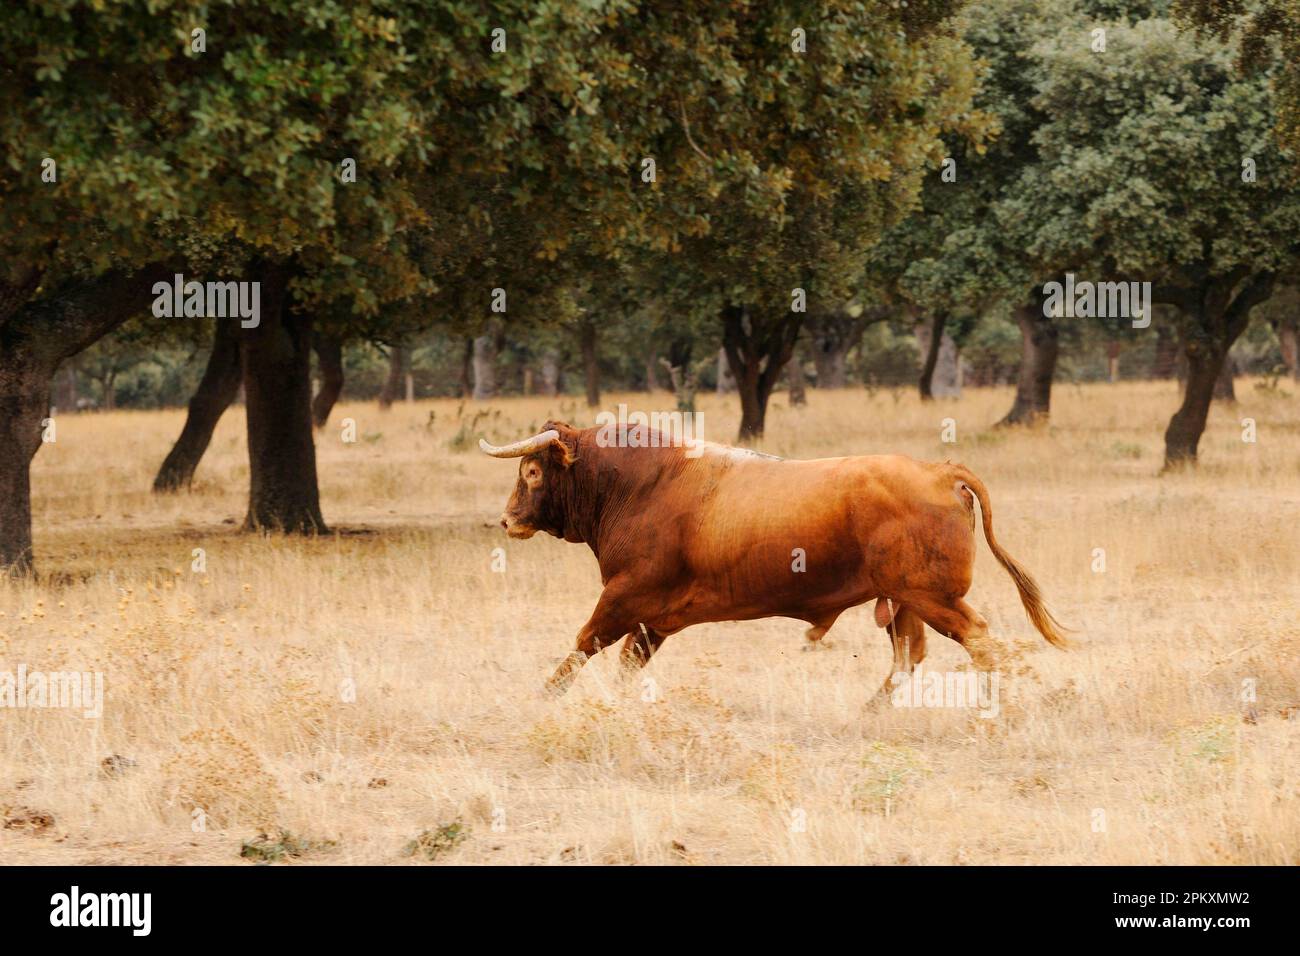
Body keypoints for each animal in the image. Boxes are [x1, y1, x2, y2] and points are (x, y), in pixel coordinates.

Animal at [480, 420, 1067, 697]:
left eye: (532, 471)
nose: (508, 520)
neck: (638, 482)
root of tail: (939, 472)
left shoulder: (625, 597)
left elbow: (583, 645)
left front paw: (543, 698)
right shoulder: (654, 619)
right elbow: (626, 664)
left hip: (934, 597)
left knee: (978, 639)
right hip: (906, 601)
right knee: (909, 656)